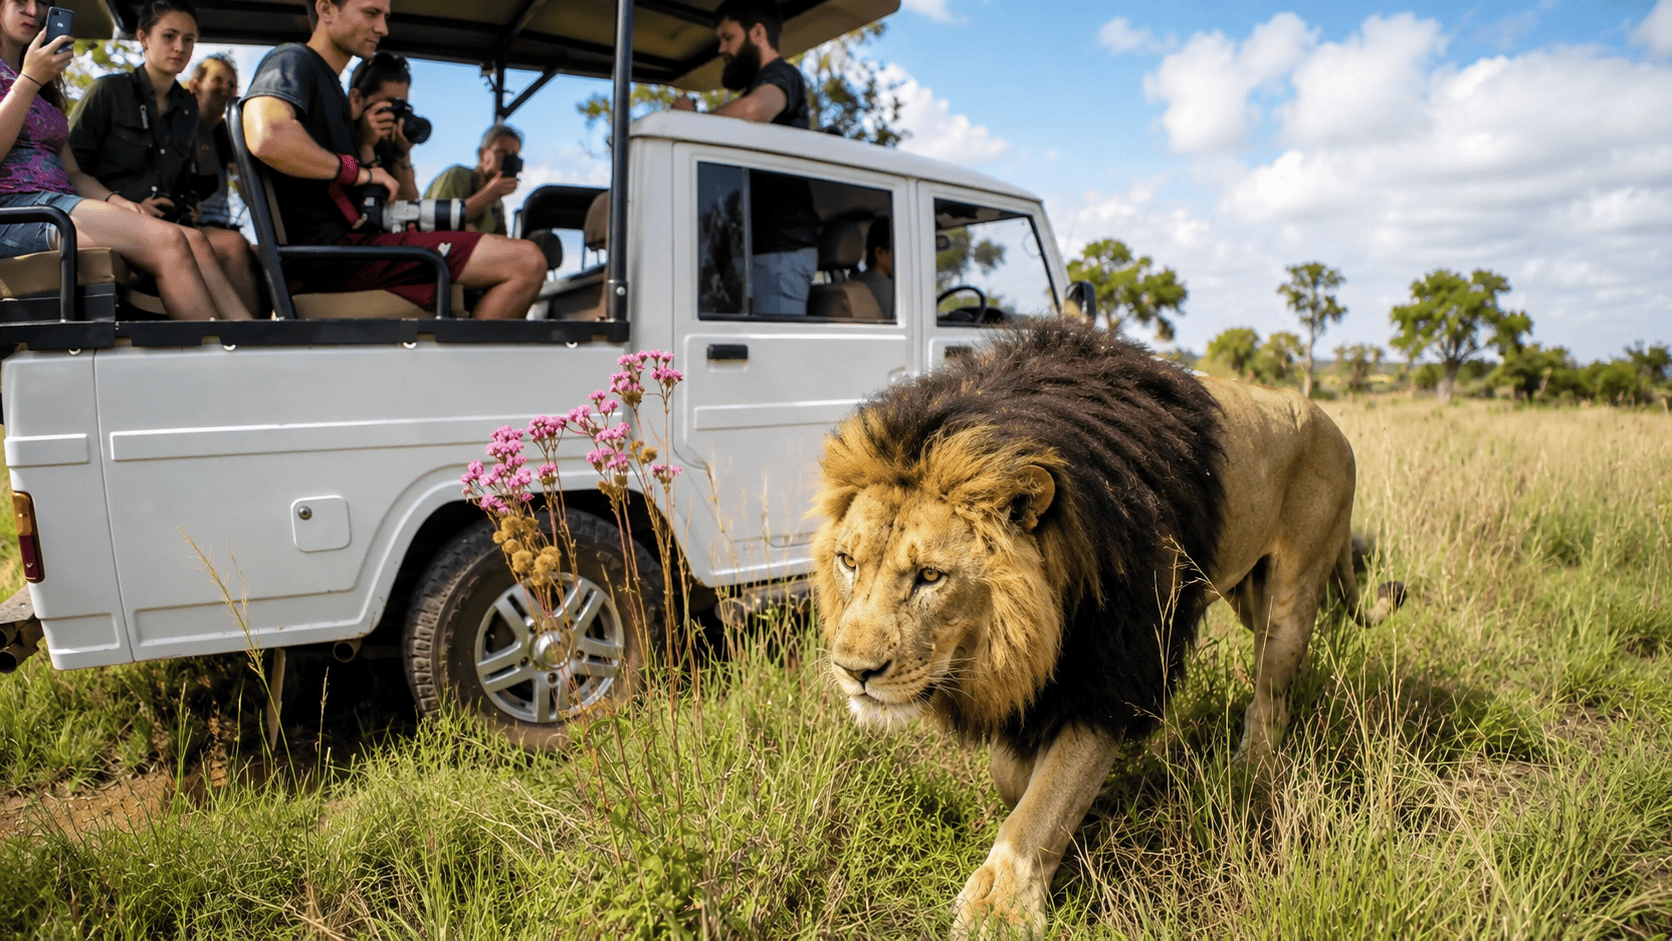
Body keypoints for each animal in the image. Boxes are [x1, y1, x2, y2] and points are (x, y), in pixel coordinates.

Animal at [811, 318, 1401, 939]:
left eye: (929, 575)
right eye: (848, 562)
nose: (853, 672)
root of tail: (1328, 420)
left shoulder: (1117, 671)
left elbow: (1046, 803)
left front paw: (1002, 908)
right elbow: (1014, 777)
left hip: (1292, 594)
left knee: (1271, 699)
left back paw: (1246, 777)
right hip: (1249, 591)